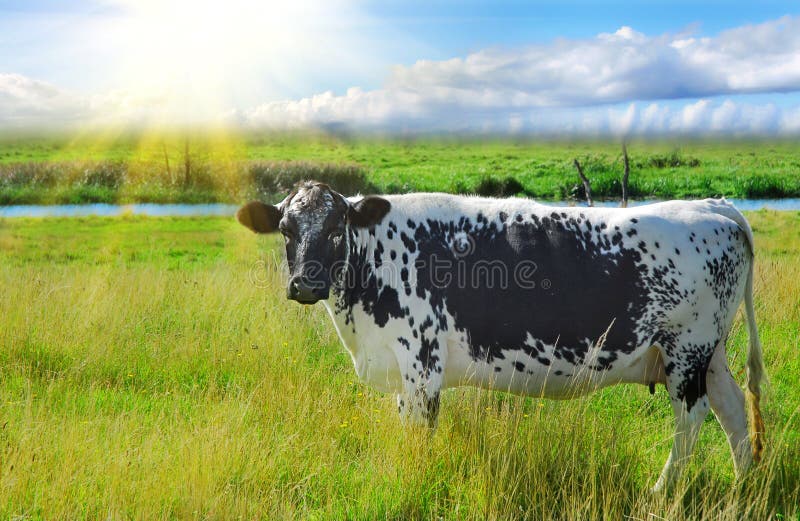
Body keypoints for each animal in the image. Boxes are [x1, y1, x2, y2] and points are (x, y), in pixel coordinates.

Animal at [236, 180, 765, 491]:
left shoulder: (421, 364)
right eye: (285, 229)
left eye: (335, 228)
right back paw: (745, 484)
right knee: (733, 408)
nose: (305, 284)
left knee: (691, 418)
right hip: (710, 352)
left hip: (687, 349)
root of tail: (714, 206)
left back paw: (662, 492)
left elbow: (419, 433)